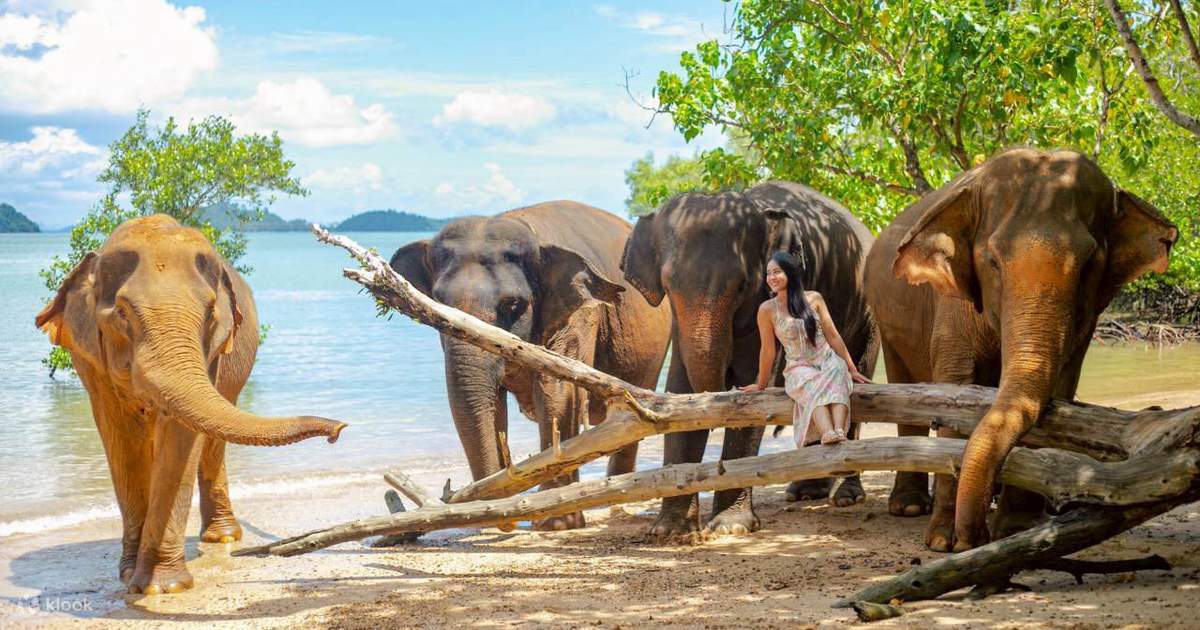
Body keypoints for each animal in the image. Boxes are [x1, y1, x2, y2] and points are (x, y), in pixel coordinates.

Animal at [35, 214, 347, 594]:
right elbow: (120, 439)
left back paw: (222, 538)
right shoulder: (89, 359)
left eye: (211, 312)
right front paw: (130, 576)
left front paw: (161, 587)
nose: (338, 430)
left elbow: (180, 439)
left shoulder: (213, 351)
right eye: (122, 313)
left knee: (212, 443)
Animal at [389, 201, 672, 530]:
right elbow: (490, 401)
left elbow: (557, 390)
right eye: (435, 301)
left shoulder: (580, 314)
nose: (499, 513)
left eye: (512, 304)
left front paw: (557, 523)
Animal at [621, 180, 879, 538]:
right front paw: (670, 533)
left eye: (742, 285)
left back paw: (846, 496)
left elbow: (756, 383)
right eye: (669, 285)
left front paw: (730, 528)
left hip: (869, 319)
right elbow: (680, 388)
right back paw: (805, 492)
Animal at [866, 147, 1178, 551]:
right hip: (888, 325)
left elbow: (1060, 386)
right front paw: (943, 542)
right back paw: (909, 508)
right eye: (993, 262)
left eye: (1089, 263)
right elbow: (954, 388)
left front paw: (1016, 530)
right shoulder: (952, 305)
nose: (971, 537)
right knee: (905, 389)